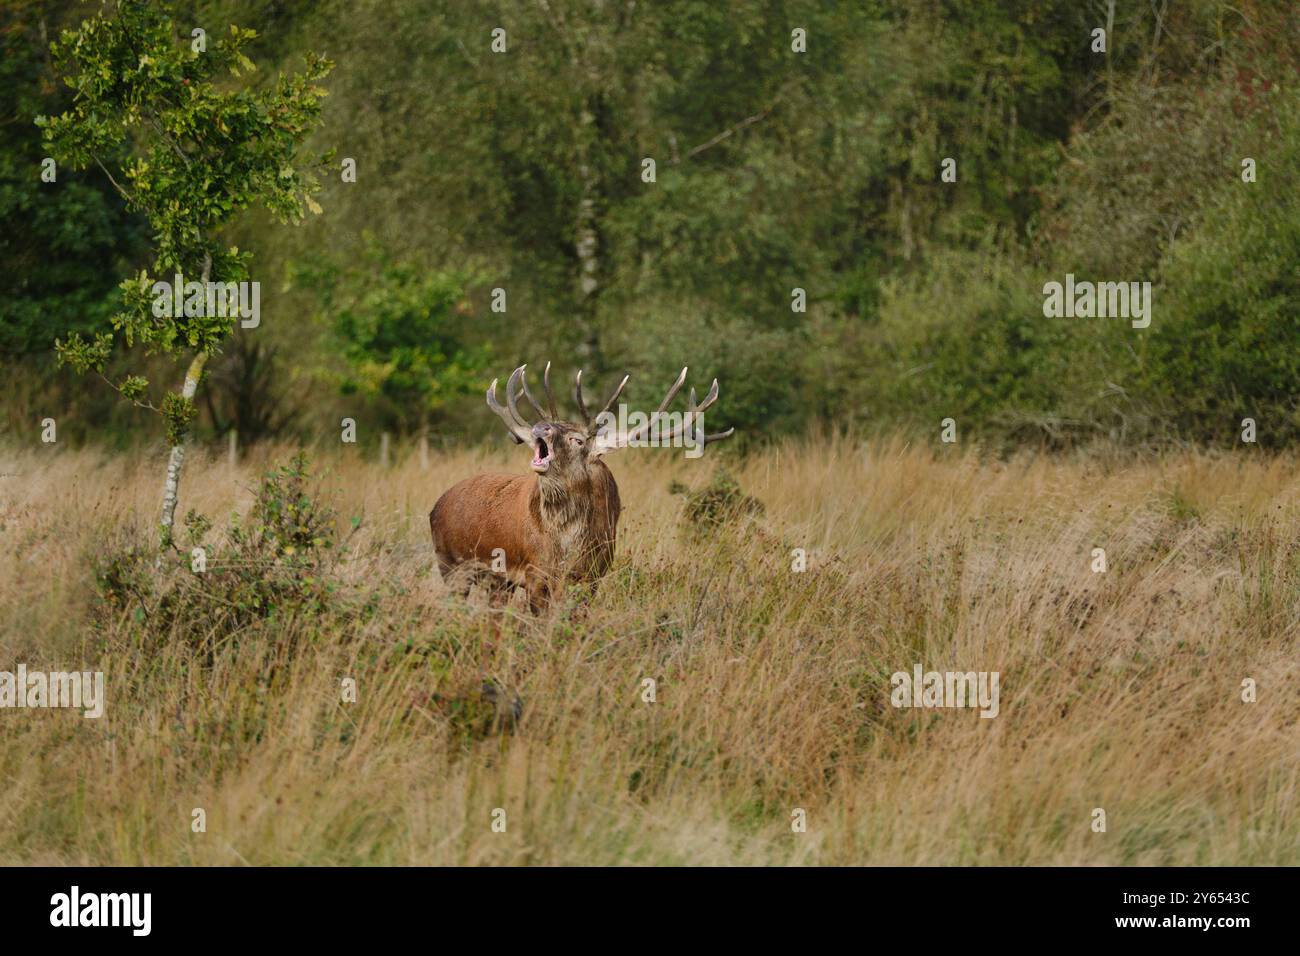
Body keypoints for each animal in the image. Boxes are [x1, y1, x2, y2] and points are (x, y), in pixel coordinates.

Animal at [430, 363, 733, 613]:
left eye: (577, 440)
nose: (542, 427)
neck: (571, 544)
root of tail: (436, 505)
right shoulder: (536, 571)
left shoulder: (593, 576)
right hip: (450, 563)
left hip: (495, 580)